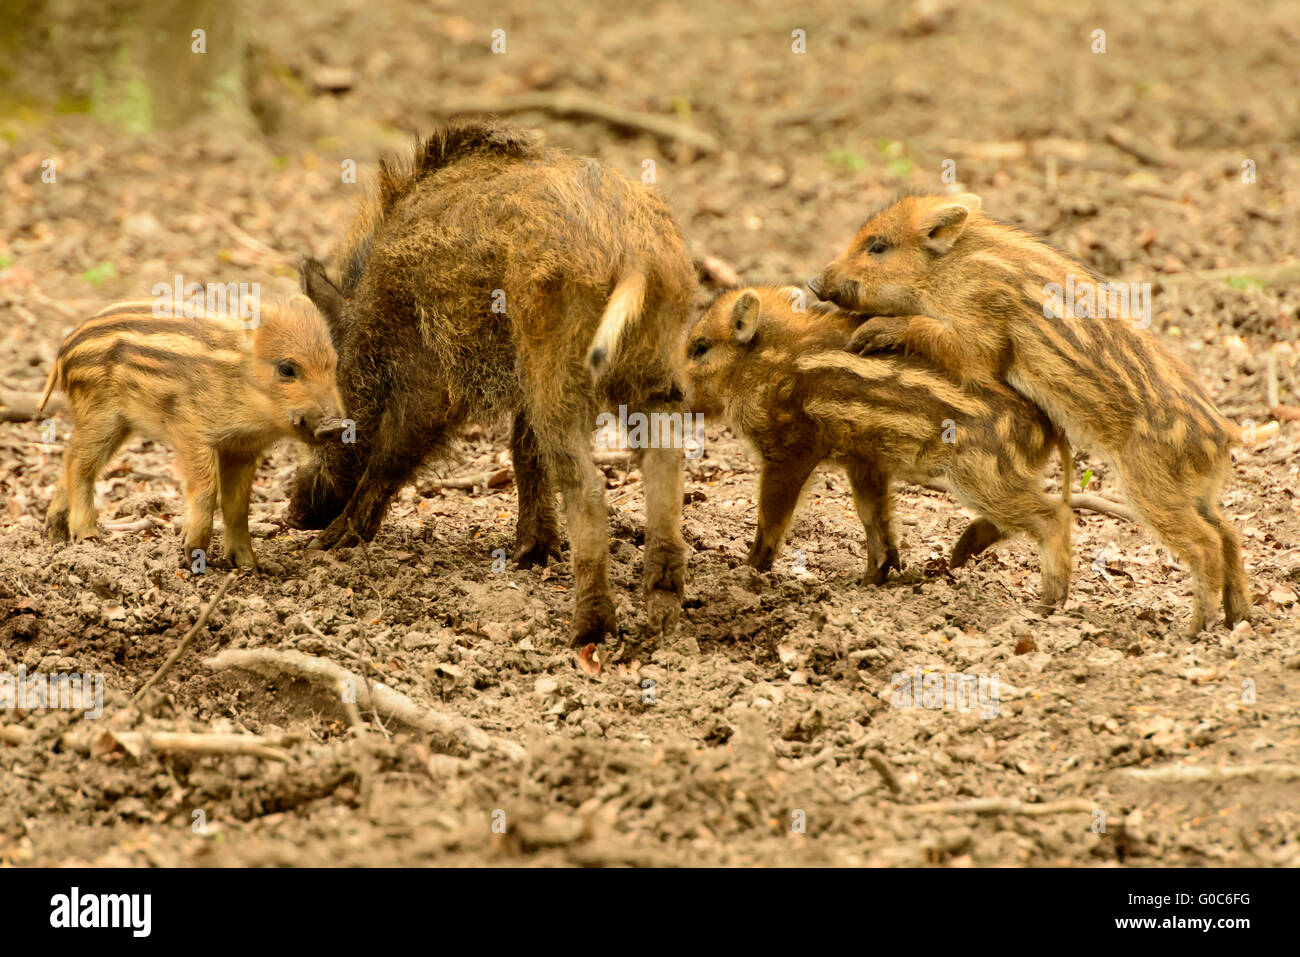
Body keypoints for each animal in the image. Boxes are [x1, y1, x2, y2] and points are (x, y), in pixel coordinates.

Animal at [39, 295, 344, 570]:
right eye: (287, 369)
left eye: (333, 365)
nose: (336, 425)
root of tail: (62, 352)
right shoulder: (190, 430)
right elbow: (207, 490)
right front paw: (191, 554)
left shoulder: (242, 448)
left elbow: (237, 504)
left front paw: (249, 565)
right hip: (101, 412)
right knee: (79, 464)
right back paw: (87, 536)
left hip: (119, 422)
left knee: (70, 457)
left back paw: (55, 534)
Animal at [289, 120, 696, 644]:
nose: (294, 513)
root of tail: (635, 254)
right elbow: (524, 451)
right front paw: (530, 555)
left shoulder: (432, 373)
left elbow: (392, 455)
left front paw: (330, 544)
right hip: (654, 364)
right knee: (664, 465)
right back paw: (663, 614)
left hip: (559, 361)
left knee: (586, 483)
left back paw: (587, 632)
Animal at [683, 286, 1073, 608]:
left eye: (700, 347)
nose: (673, 395)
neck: (766, 365)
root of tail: (1050, 428)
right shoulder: (865, 461)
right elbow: (874, 517)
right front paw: (870, 582)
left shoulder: (789, 449)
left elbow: (771, 516)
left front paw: (745, 572)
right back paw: (959, 556)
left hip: (979, 472)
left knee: (1053, 515)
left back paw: (1048, 604)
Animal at [811, 193, 1249, 634]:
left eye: (878, 246)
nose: (815, 282)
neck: (949, 269)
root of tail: (1222, 436)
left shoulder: (978, 329)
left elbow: (941, 336)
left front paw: (867, 334)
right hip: (1194, 492)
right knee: (1229, 534)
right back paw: (1238, 620)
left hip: (1151, 487)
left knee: (1205, 543)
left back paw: (1194, 630)